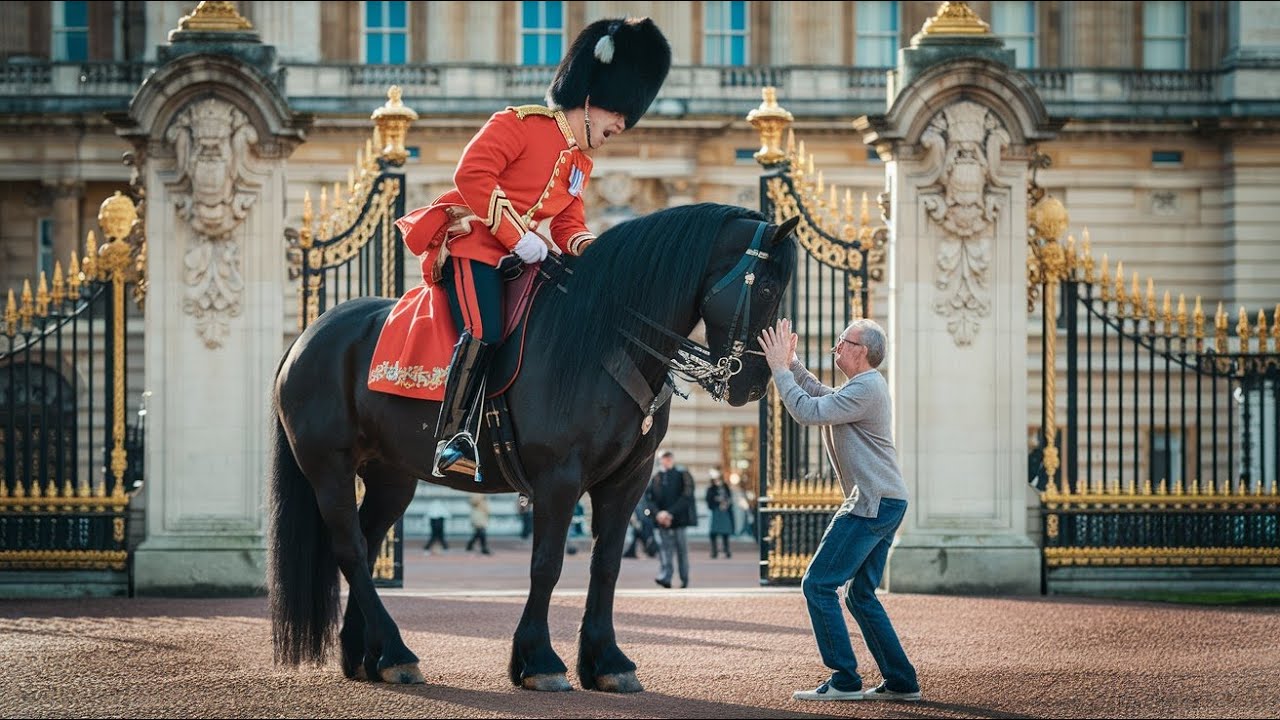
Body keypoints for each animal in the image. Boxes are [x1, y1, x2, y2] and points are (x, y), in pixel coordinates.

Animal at [267, 202, 799, 692]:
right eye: (767, 289)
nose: (754, 384)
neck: (610, 342)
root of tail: (307, 335)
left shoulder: (630, 479)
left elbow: (606, 564)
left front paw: (608, 662)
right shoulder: (558, 477)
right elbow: (547, 563)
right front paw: (540, 661)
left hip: (391, 475)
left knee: (367, 539)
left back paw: (368, 655)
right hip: (329, 467)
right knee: (351, 547)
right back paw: (396, 651)